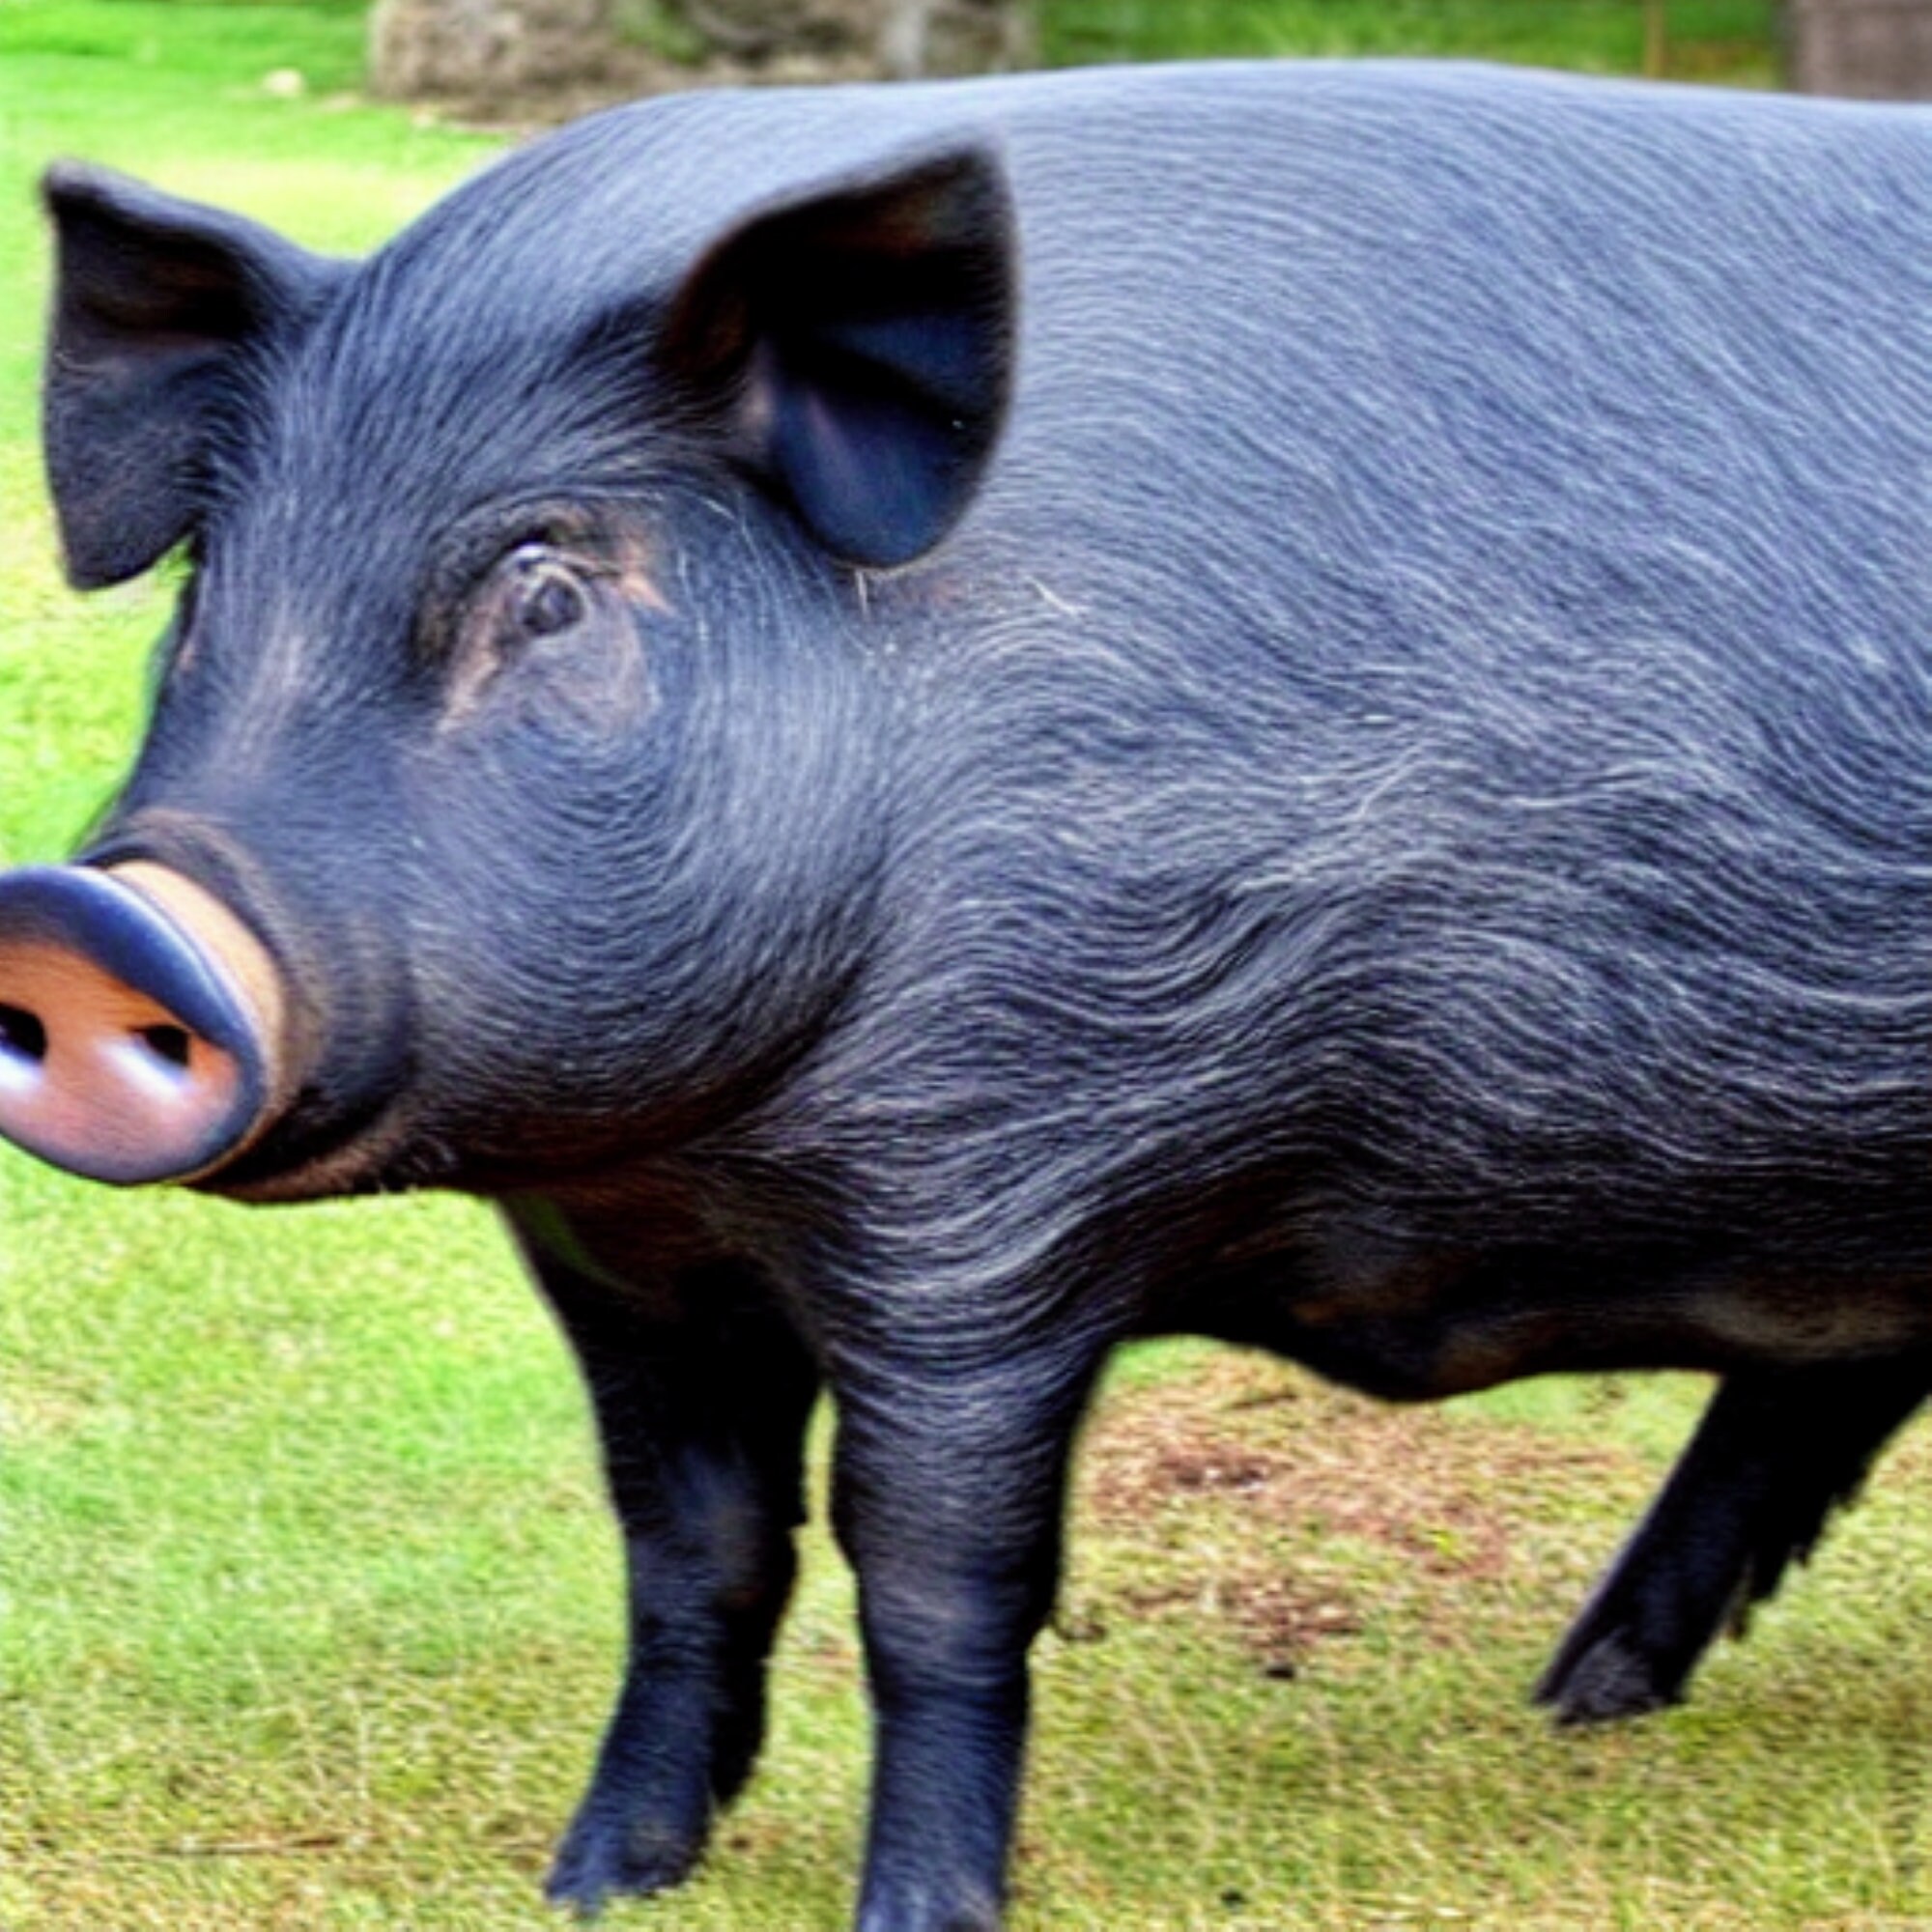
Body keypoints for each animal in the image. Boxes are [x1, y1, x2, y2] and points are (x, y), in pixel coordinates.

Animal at [4, 59, 1932, 1930]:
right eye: (209, 581)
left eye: (545, 584)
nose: (81, 915)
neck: (713, 1162)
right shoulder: (616, 1246)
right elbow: (687, 1551)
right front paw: (594, 1887)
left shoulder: (1003, 1179)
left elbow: (936, 1578)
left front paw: (914, 1914)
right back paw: (1580, 1700)